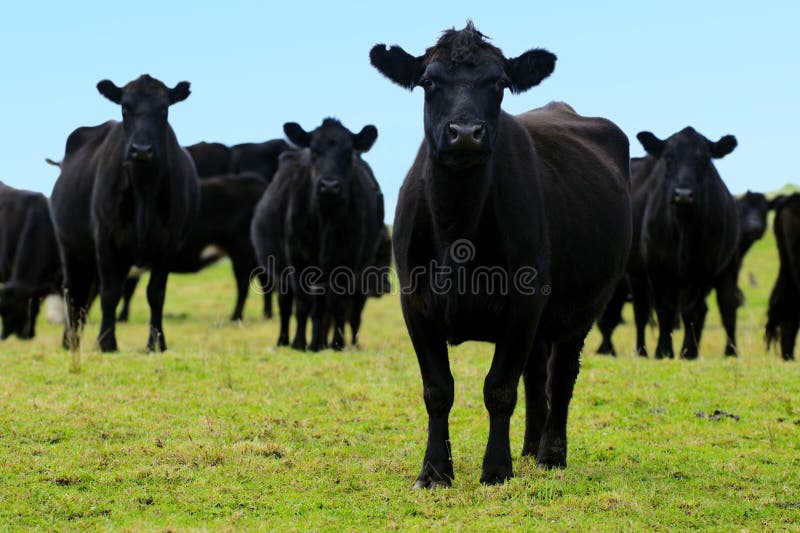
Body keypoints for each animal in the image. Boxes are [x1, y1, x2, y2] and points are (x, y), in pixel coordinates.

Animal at [50, 74, 199, 352]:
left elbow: (156, 294)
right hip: (70, 247)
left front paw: (156, 342)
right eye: (124, 108)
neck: (143, 188)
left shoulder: (169, 244)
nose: (141, 149)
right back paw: (70, 341)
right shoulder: (105, 239)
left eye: (164, 109)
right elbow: (110, 294)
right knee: (73, 292)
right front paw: (106, 342)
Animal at [117, 172, 270, 322]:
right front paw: (123, 317)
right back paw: (266, 315)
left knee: (244, 286)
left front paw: (121, 318)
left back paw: (236, 317)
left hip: (241, 253)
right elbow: (128, 291)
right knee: (265, 281)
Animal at [251, 119, 385, 351]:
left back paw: (319, 343)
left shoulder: (346, 262)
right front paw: (298, 343)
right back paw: (284, 340)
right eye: (314, 151)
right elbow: (302, 304)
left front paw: (337, 344)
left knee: (323, 307)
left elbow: (337, 305)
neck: (326, 220)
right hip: (281, 272)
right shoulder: (298, 259)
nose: (329, 185)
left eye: (348, 153)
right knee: (286, 305)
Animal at [369, 22, 632, 486]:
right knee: (536, 373)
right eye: (428, 82)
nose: (465, 132)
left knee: (560, 377)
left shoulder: (524, 302)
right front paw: (434, 472)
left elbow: (499, 389)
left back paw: (549, 454)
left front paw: (495, 469)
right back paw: (528, 447)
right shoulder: (414, 303)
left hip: (581, 309)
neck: (457, 230)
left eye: (500, 85)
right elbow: (438, 390)